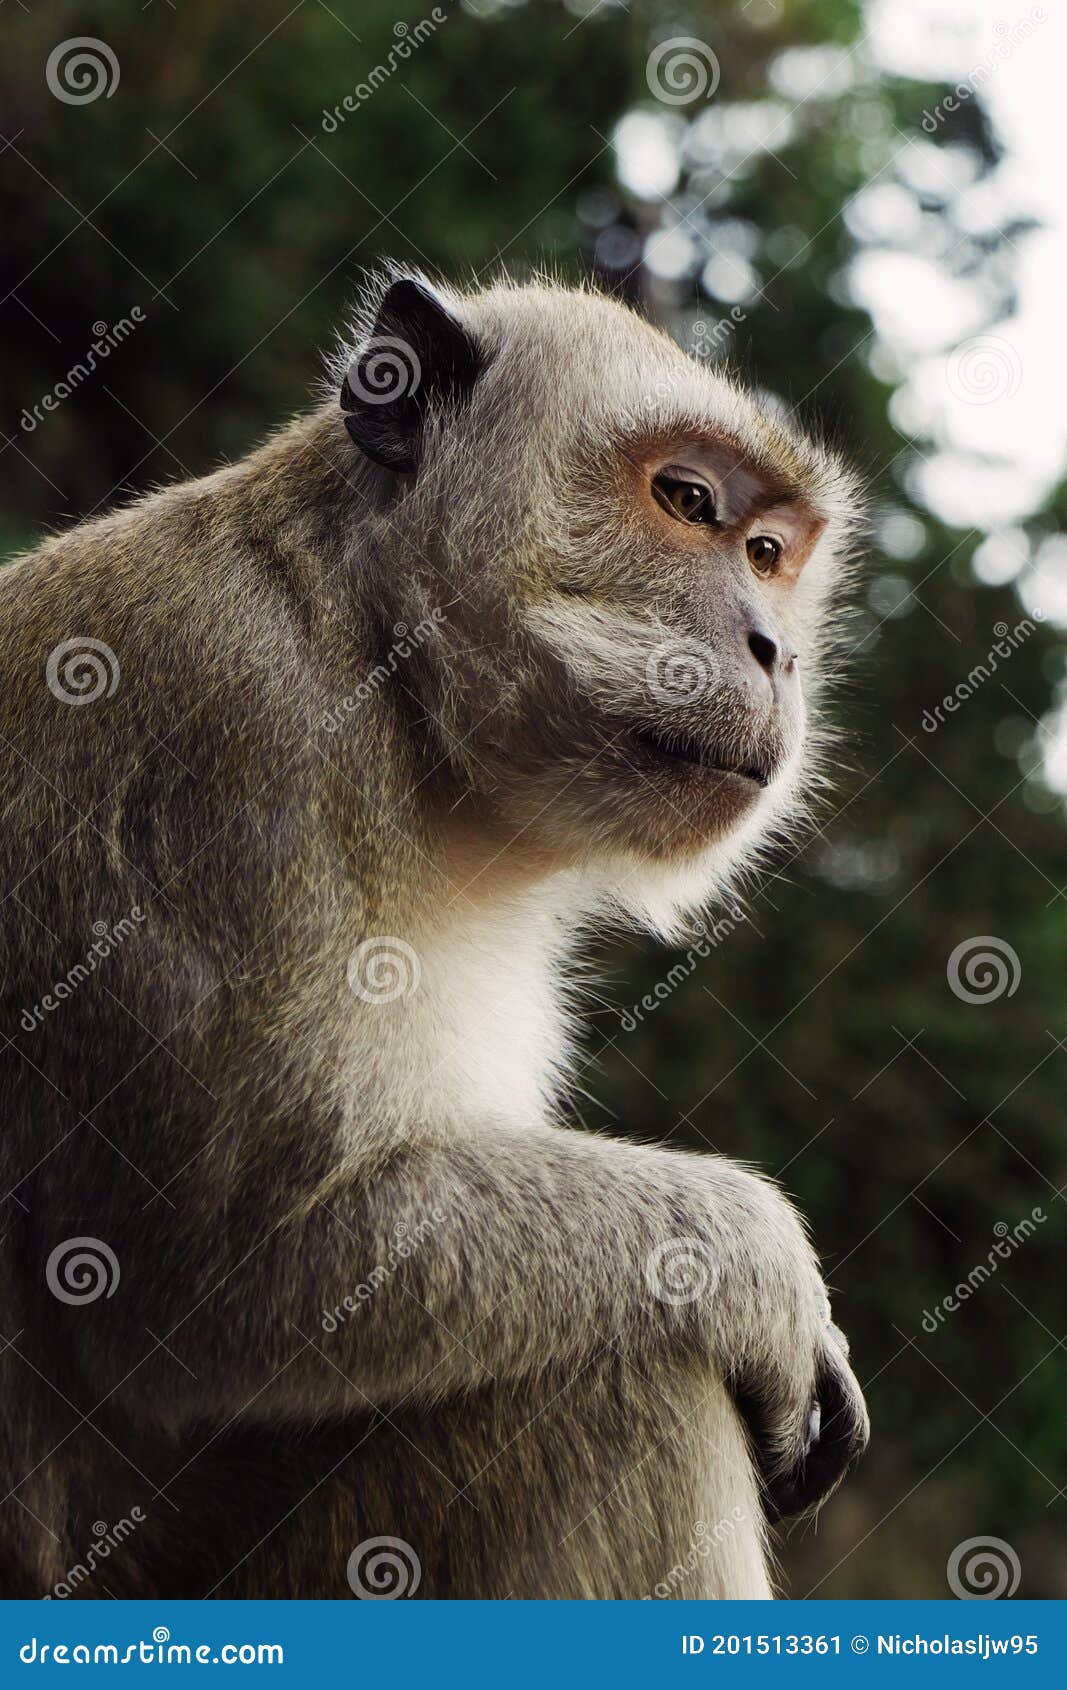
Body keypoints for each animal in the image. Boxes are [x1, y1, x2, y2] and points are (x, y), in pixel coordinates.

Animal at [0, 270, 868, 1601]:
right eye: (685, 501)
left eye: (768, 555)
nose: (775, 651)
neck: (377, 664)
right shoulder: (224, 736)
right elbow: (209, 1286)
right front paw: (761, 1264)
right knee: (621, 1377)